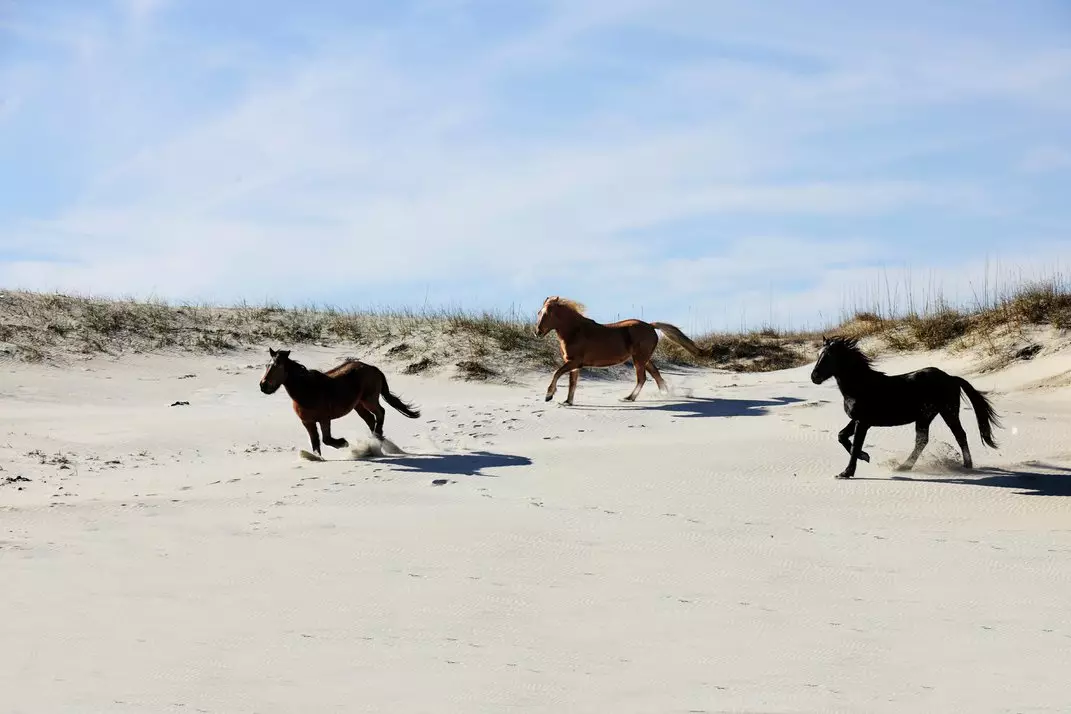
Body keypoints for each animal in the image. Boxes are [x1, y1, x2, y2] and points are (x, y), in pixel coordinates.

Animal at [261, 346, 419, 458]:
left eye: (278, 366)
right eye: (267, 365)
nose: (263, 385)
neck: (306, 389)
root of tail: (373, 368)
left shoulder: (324, 419)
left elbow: (326, 439)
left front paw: (344, 443)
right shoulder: (307, 422)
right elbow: (315, 442)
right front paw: (316, 458)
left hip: (369, 400)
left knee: (380, 413)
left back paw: (377, 438)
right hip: (358, 405)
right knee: (370, 419)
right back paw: (373, 443)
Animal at [531, 297, 706, 406]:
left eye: (547, 314)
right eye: (539, 313)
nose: (537, 332)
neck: (575, 331)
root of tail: (650, 326)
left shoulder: (574, 362)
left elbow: (556, 373)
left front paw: (549, 395)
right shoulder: (574, 364)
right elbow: (572, 383)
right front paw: (568, 402)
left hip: (639, 359)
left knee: (642, 378)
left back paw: (629, 398)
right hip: (643, 358)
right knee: (656, 374)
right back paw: (664, 394)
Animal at [813, 336, 998, 479]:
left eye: (829, 356)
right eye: (818, 355)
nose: (814, 377)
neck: (861, 386)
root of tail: (951, 378)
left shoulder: (863, 422)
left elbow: (855, 445)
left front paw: (846, 473)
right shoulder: (857, 420)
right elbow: (842, 436)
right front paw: (865, 457)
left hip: (947, 412)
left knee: (959, 435)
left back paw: (966, 465)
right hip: (925, 417)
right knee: (923, 440)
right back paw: (905, 466)